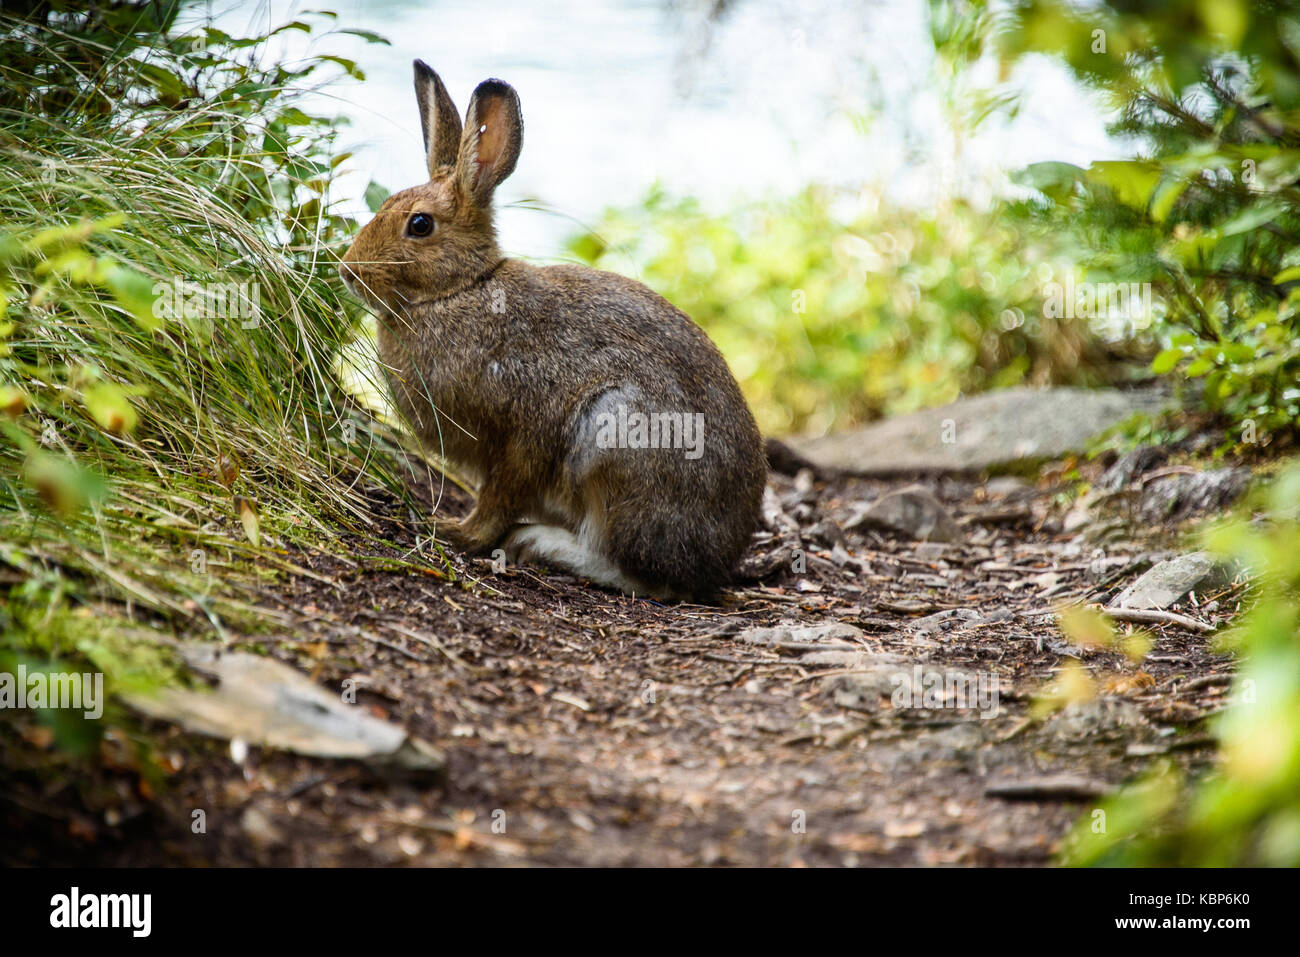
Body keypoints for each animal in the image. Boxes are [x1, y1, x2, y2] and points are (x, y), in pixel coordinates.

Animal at [339, 60, 766, 602]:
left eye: (419, 225)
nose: (348, 271)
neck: (461, 289)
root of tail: (717, 562)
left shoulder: (524, 431)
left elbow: (500, 495)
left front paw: (458, 532)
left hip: (614, 435)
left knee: (641, 573)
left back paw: (544, 543)